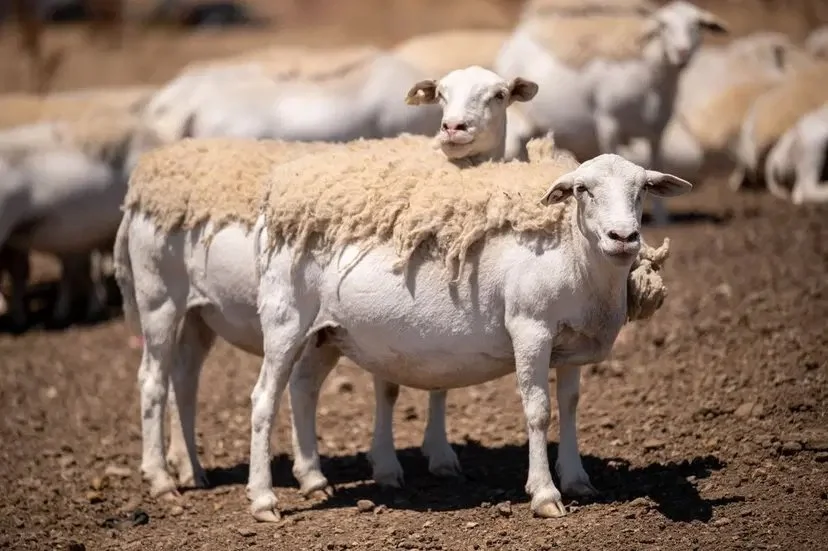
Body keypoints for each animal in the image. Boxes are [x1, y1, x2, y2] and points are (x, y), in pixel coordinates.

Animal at [114, 66, 544, 498]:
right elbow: (389, 388)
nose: (453, 128)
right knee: (153, 380)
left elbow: (438, 382)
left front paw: (439, 457)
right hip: (159, 297)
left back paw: (191, 468)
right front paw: (389, 465)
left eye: (499, 95)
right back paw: (161, 476)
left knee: (184, 380)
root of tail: (144, 177)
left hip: (200, 312)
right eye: (440, 93)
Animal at [229, 135, 691, 521]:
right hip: (286, 318)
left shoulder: (571, 342)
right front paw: (545, 494)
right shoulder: (530, 329)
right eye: (582, 190)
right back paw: (264, 500)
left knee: (303, 388)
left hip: (326, 332)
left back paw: (313, 479)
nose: (623, 237)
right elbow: (539, 411)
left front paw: (578, 480)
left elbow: (571, 404)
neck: (574, 261)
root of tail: (276, 202)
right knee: (263, 399)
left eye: (643, 189)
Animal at [494, 0, 727, 224]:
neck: (651, 81)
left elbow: (656, 167)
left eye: (698, 25)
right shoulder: (609, 124)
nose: (682, 51)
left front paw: (662, 220)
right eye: (663, 26)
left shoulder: (657, 132)